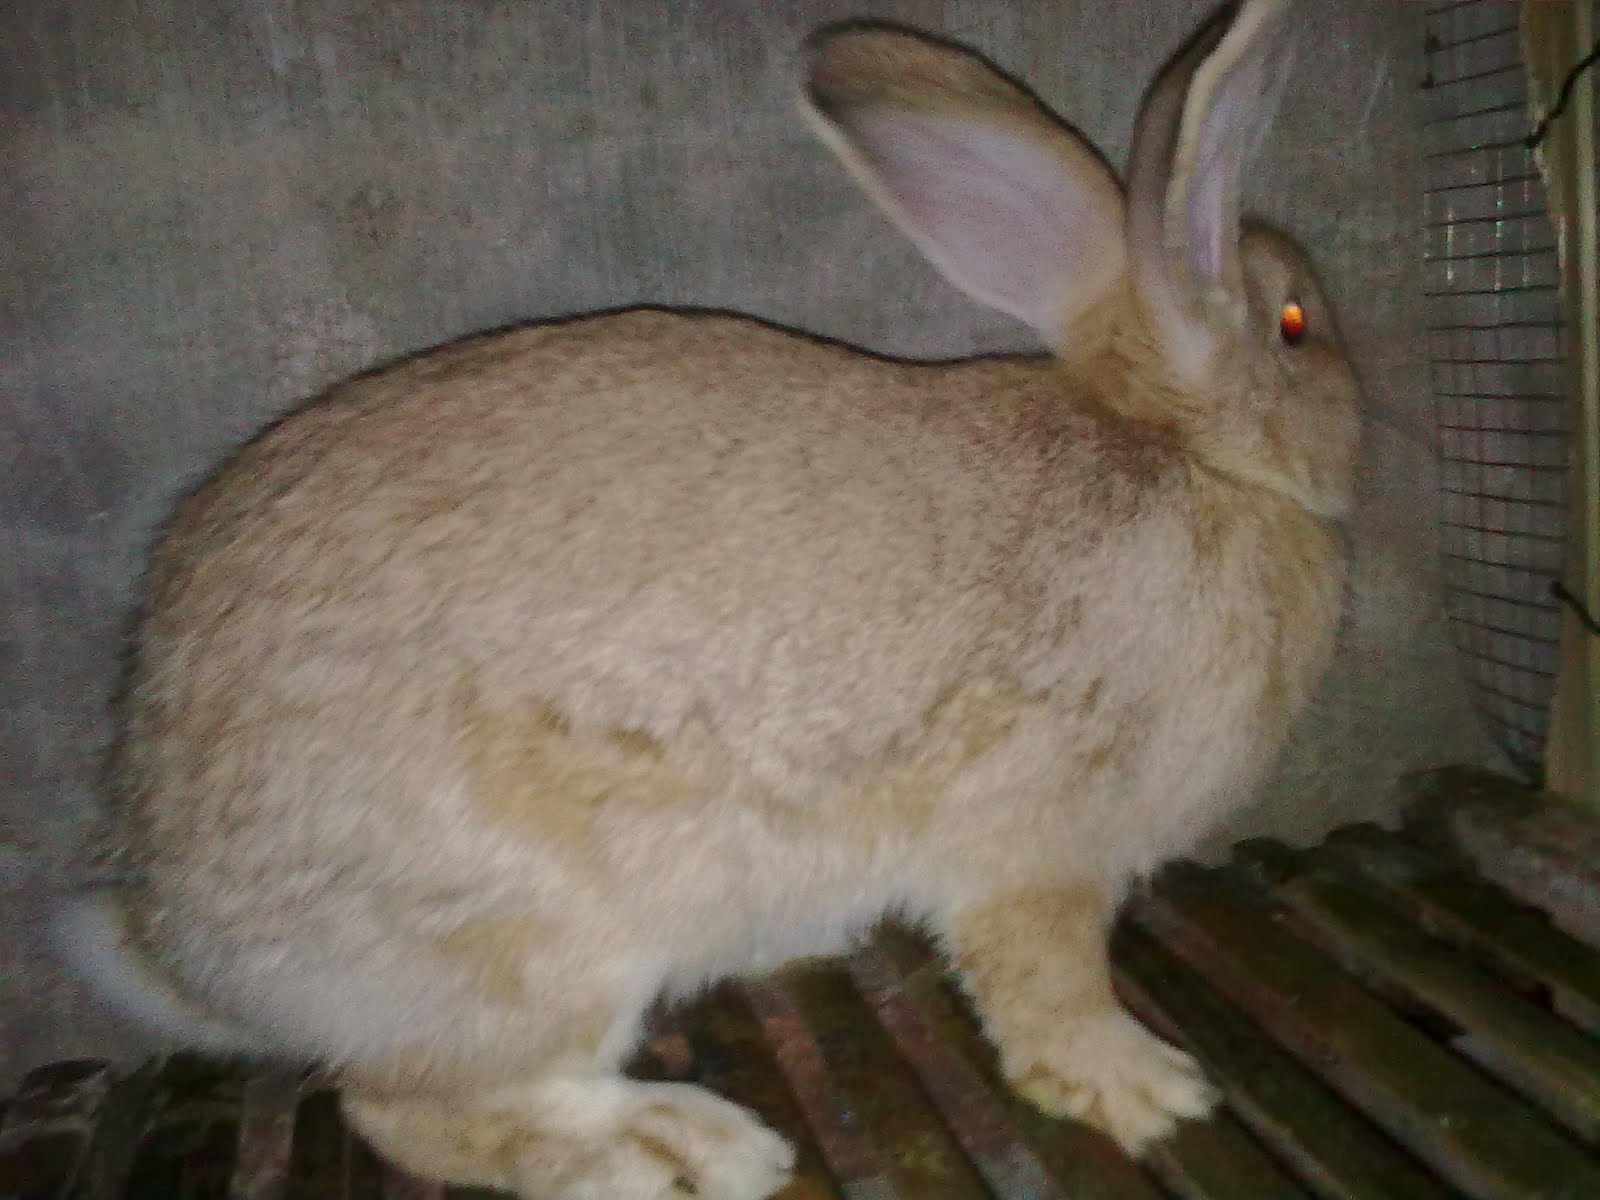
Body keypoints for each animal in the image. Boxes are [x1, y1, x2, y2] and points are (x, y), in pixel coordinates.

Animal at [61, 0, 1359, 1196]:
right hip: (542, 950)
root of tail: (183, 932)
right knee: (409, 1109)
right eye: (1296, 325)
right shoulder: (1042, 850)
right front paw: (1156, 1093)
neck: (1192, 456)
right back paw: (683, 1152)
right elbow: (1053, 988)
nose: (1358, 438)